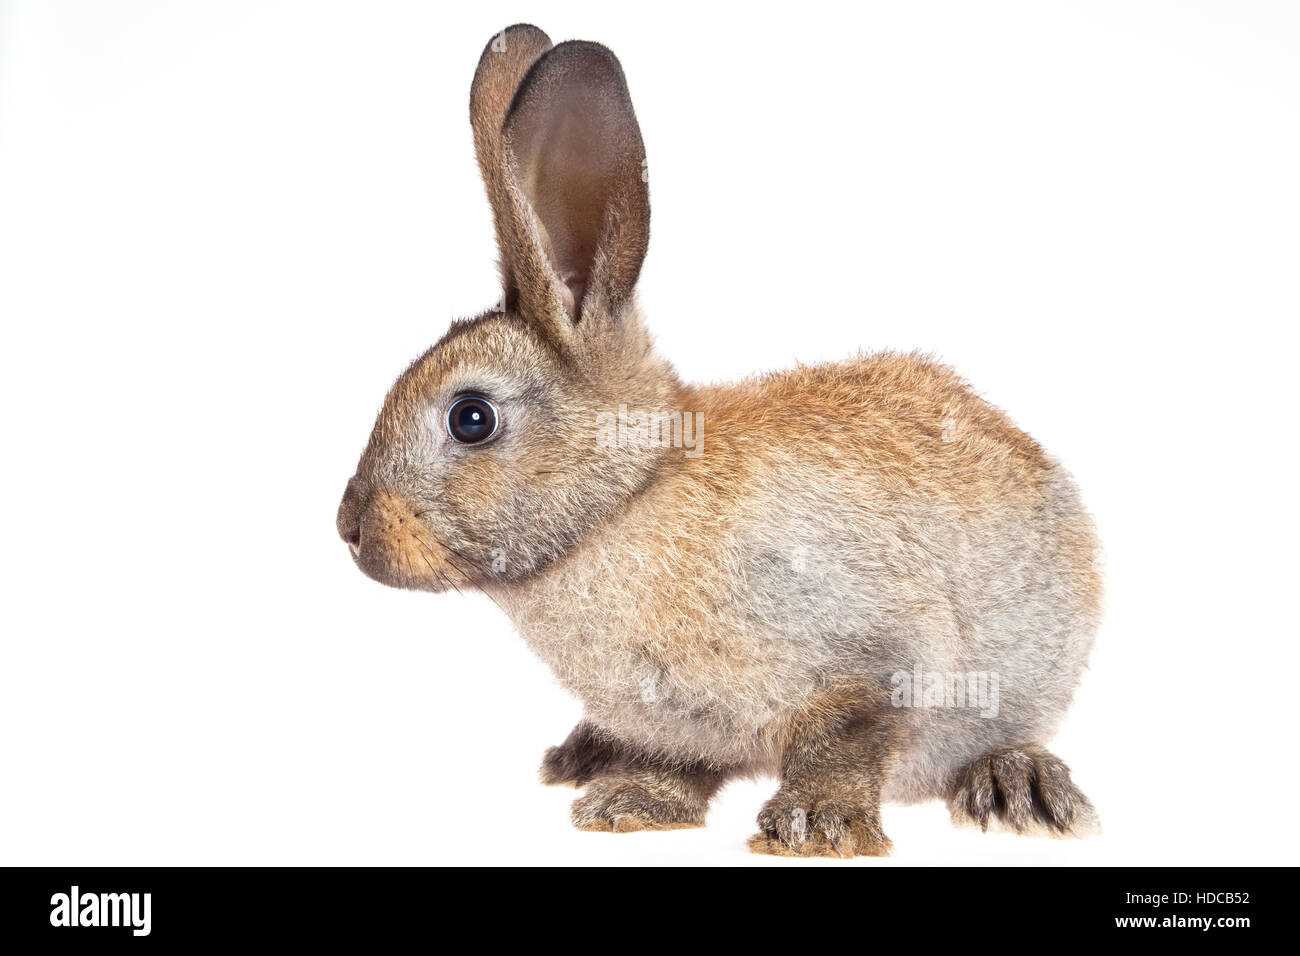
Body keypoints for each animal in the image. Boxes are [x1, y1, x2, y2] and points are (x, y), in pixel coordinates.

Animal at [336, 23, 1102, 857]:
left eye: (471, 418)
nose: (349, 527)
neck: (624, 505)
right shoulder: (677, 722)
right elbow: (679, 759)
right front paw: (633, 803)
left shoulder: (879, 653)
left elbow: (847, 737)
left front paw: (815, 827)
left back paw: (1018, 787)